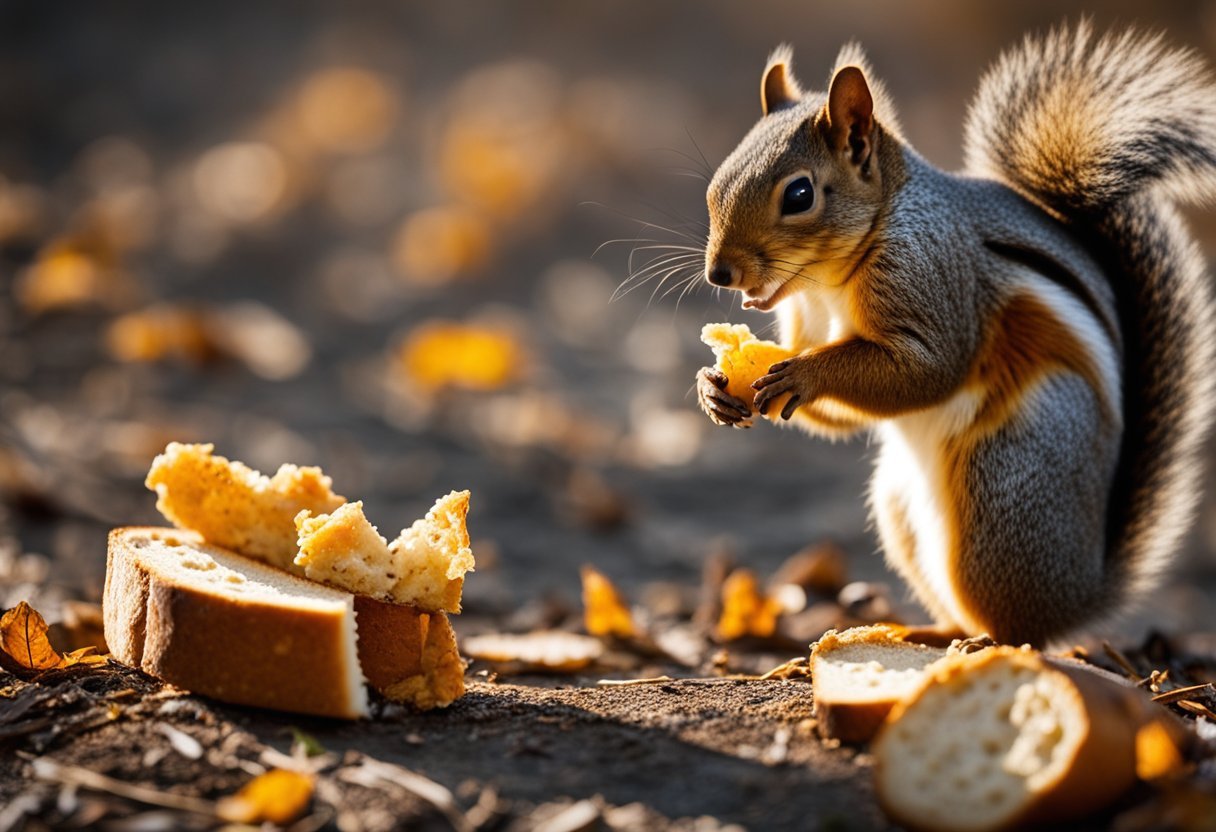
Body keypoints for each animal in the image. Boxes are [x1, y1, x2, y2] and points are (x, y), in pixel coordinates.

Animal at [695, 22, 1216, 646]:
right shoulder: (808, 317)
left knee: (1018, 626)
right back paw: (920, 630)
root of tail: (1084, 593)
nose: (719, 274)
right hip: (899, 506)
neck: (831, 281)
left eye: (799, 195)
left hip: (1004, 488)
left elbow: (928, 370)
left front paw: (805, 372)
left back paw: (974, 642)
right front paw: (713, 387)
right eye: (716, 184)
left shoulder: (932, 273)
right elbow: (839, 413)